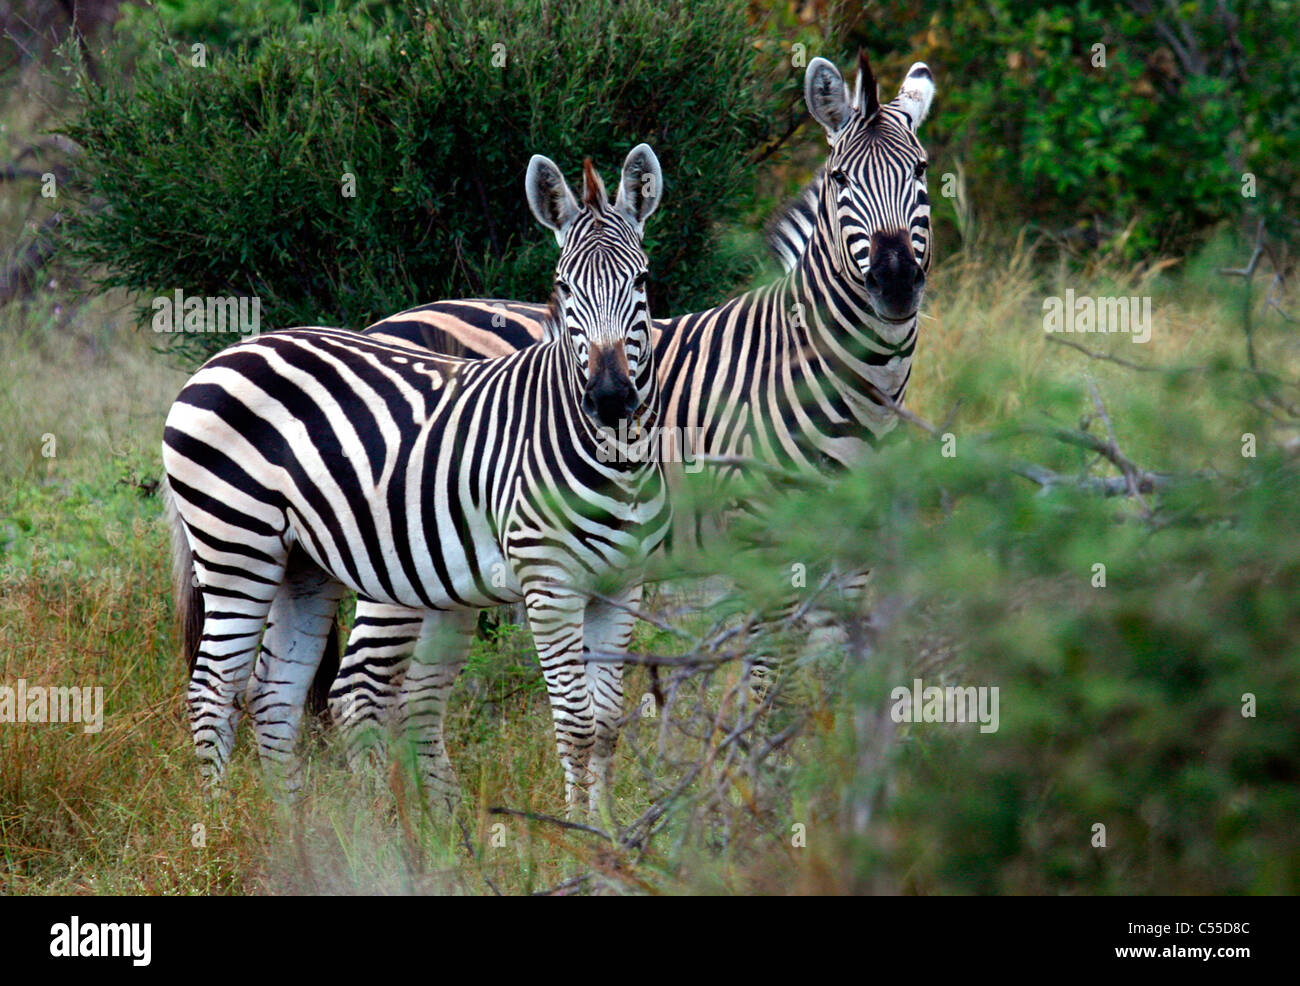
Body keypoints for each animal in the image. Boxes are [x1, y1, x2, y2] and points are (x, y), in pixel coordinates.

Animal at [162, 145, 670, 815]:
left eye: (641, 281)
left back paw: (293, 831)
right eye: (563, 289)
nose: (611, 398)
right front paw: (577, 836)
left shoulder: (623, 587)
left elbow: (608, 723)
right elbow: (576, 724)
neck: (613, 464)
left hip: (303, 565)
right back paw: (219, 824)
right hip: (236, 547)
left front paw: (609, 831)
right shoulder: (550, 587)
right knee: (214, 691)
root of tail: (222, 356)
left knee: (275, 695)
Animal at [327, 52, 936, 754]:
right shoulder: (760, 542)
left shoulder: (853, 548)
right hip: (394, 560)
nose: (895, 281)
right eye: (840, 180)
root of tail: (381, 325)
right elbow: (767, 681)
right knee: (357, 694)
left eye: (922, 171)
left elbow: (837, 678)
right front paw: (755, 772)